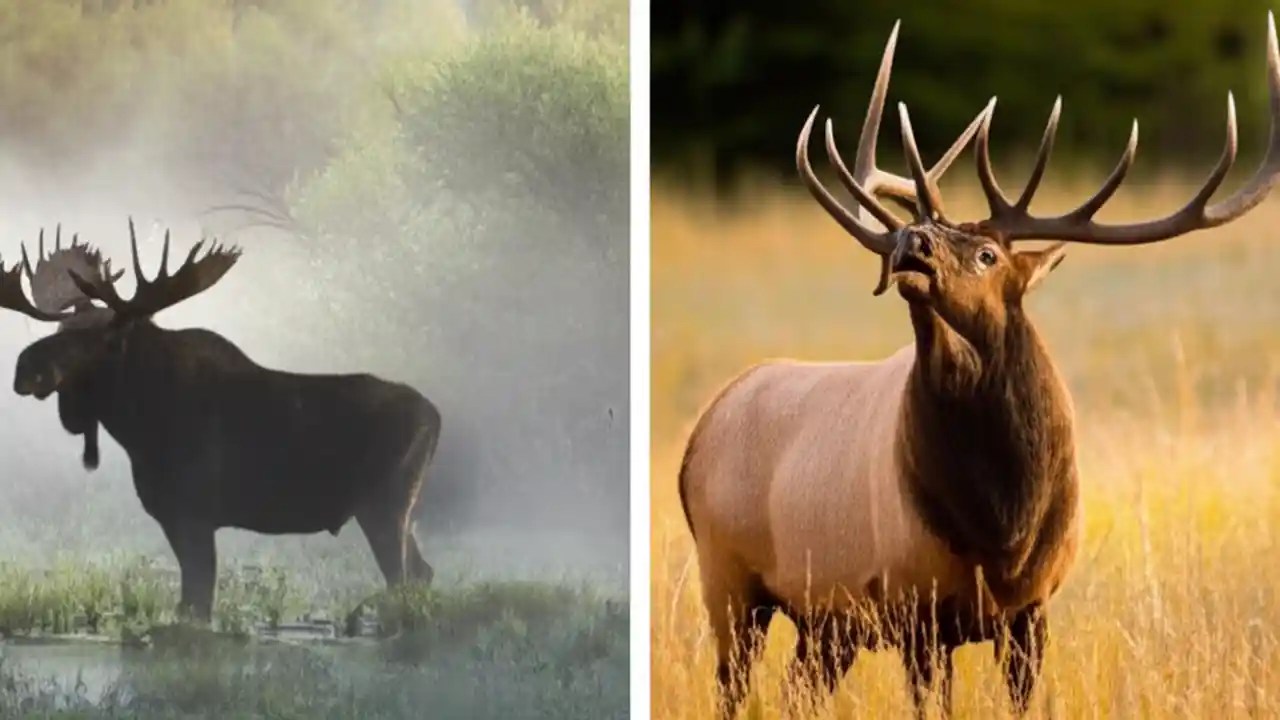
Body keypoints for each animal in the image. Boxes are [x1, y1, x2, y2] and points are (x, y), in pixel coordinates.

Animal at [0, 221, 441, 622]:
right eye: (61, 326)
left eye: (104, 339)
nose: (26, 368)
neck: (140, 426)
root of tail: (435, 417)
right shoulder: (175, 517)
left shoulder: (192, 515)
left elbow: (197, 602)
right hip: (396, 511)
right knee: (422, 573)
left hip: (384, 504)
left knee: (403, 580)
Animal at [679, 14, 1280, 718]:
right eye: (914, 235)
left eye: (989, 254)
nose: (910, 242)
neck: (1002, 532)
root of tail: (700, 432)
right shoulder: (916, 605)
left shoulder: (1033, 607)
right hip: (728, 578)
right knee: (732, 686)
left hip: (826, 622)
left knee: (796, 690)